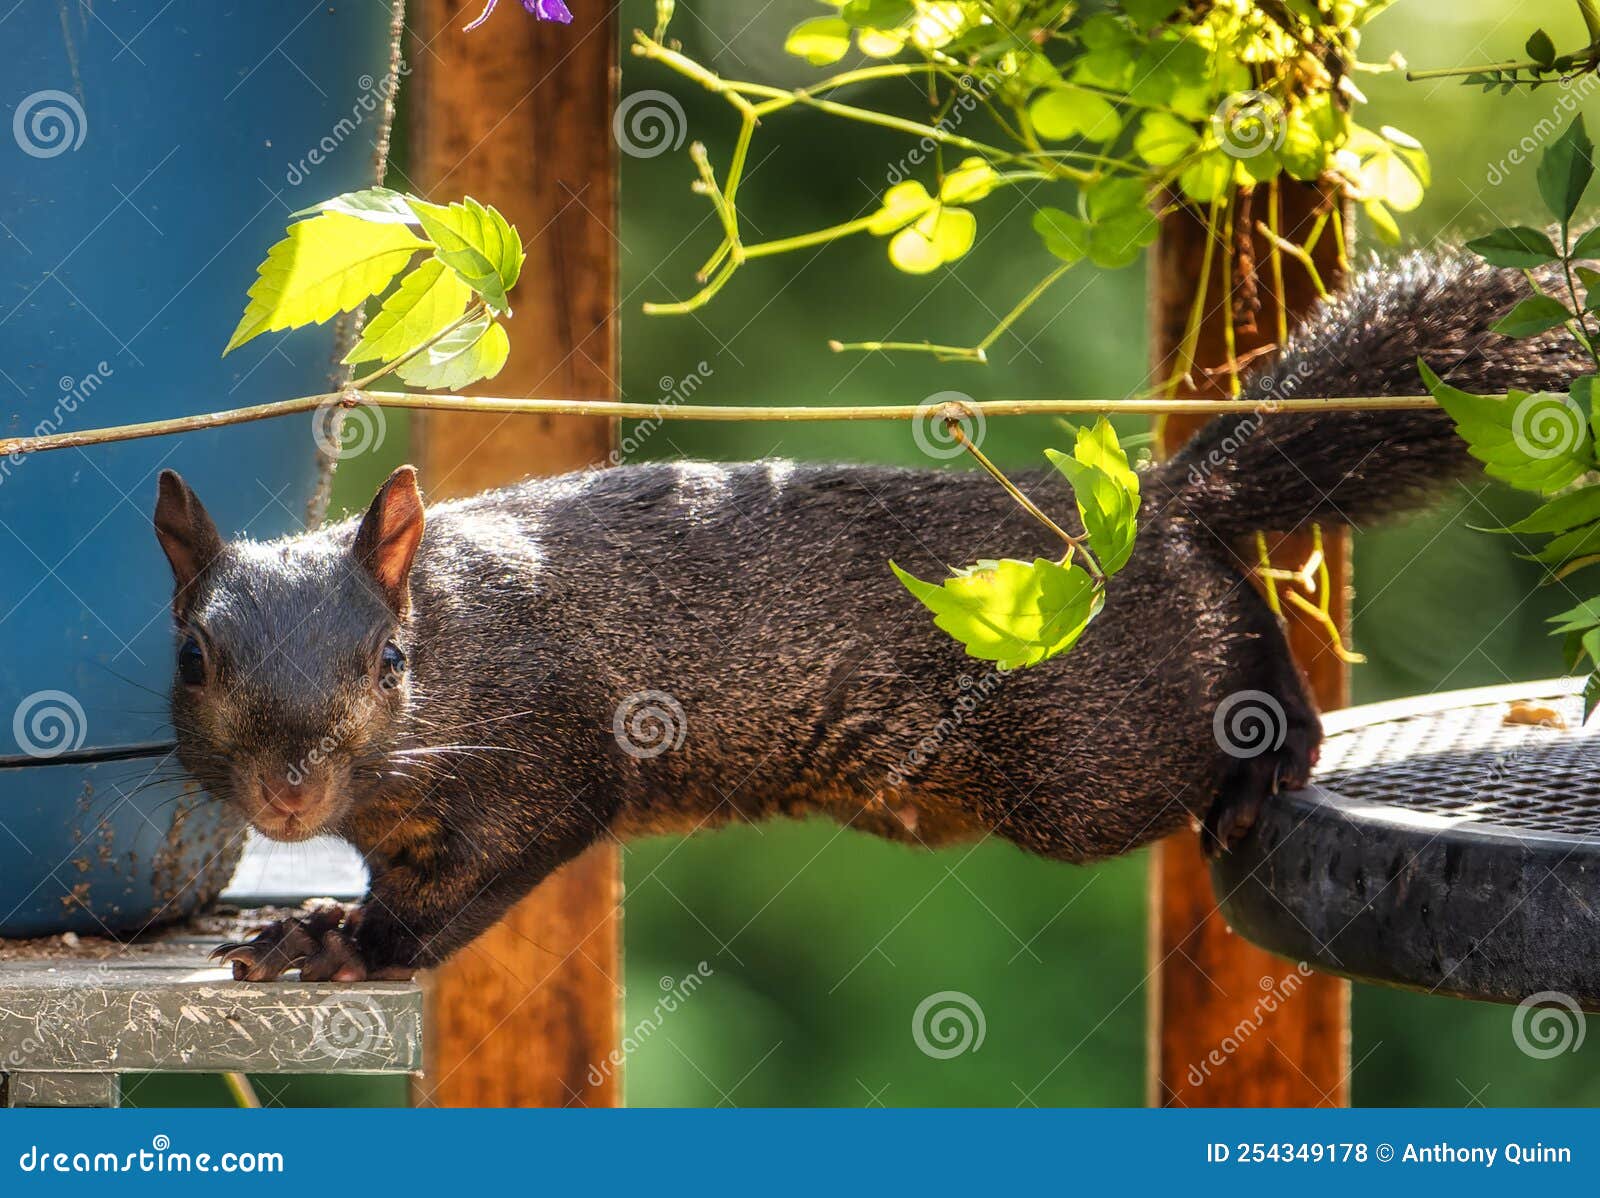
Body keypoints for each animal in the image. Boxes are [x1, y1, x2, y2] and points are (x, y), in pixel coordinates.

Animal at [151, 248, 1587, 982]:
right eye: (193, 656)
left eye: (388, 658)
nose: (286, 795)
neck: (456, 644)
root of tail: (1160, 504)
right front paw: (319, 912)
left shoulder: (544, 757)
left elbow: (466, 888)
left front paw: (346, 942)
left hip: (1087, 762)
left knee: (1230, 648)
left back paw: (1271, 747)